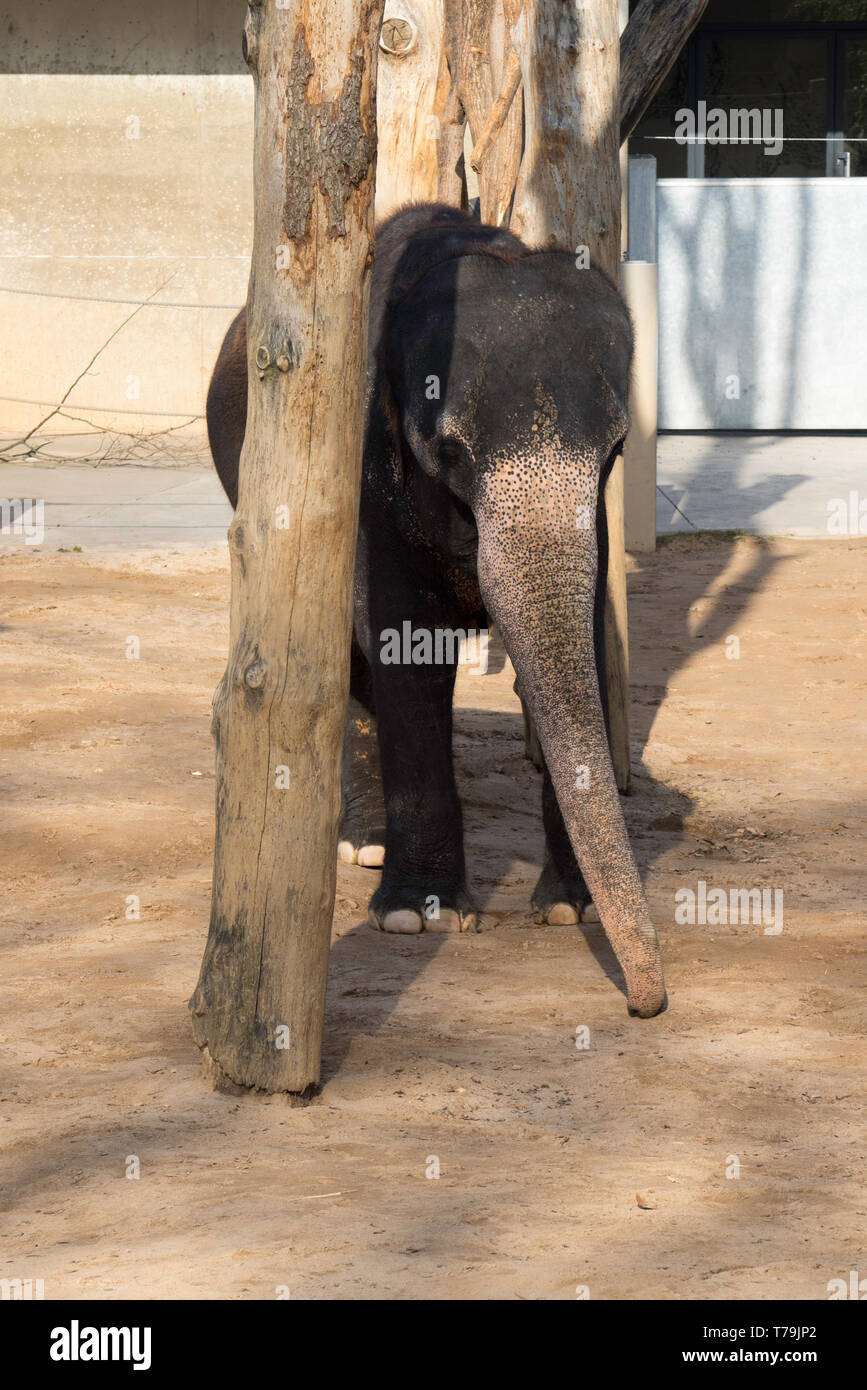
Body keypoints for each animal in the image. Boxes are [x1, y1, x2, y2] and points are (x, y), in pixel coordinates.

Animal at [206, 202, 665, 1018]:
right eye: (449, 452)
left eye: (616, 448)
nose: (646, 1005)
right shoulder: (370, 472)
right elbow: (406, 649)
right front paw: (419, 918)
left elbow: (577, 642)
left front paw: (569, 909)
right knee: (345, 656)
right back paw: (365, 846)